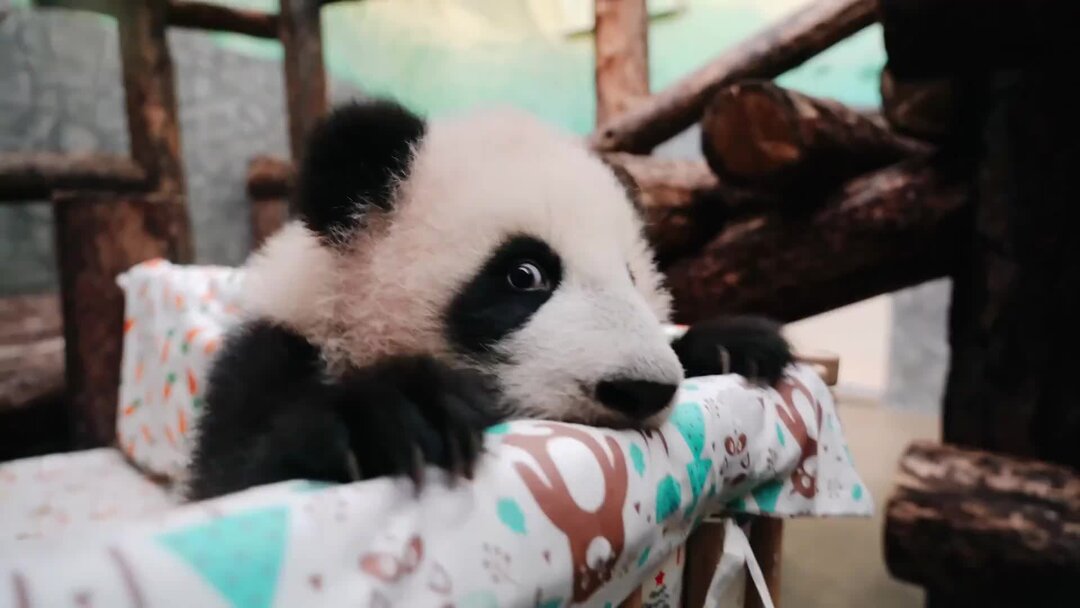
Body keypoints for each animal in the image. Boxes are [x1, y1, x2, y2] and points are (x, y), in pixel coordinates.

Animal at [187, 98, 794, 498]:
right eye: (524, 275)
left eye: (631, 277)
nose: (640, 389)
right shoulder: (272, 358)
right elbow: (237, 477)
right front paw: (402, 414)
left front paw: (733, 344)